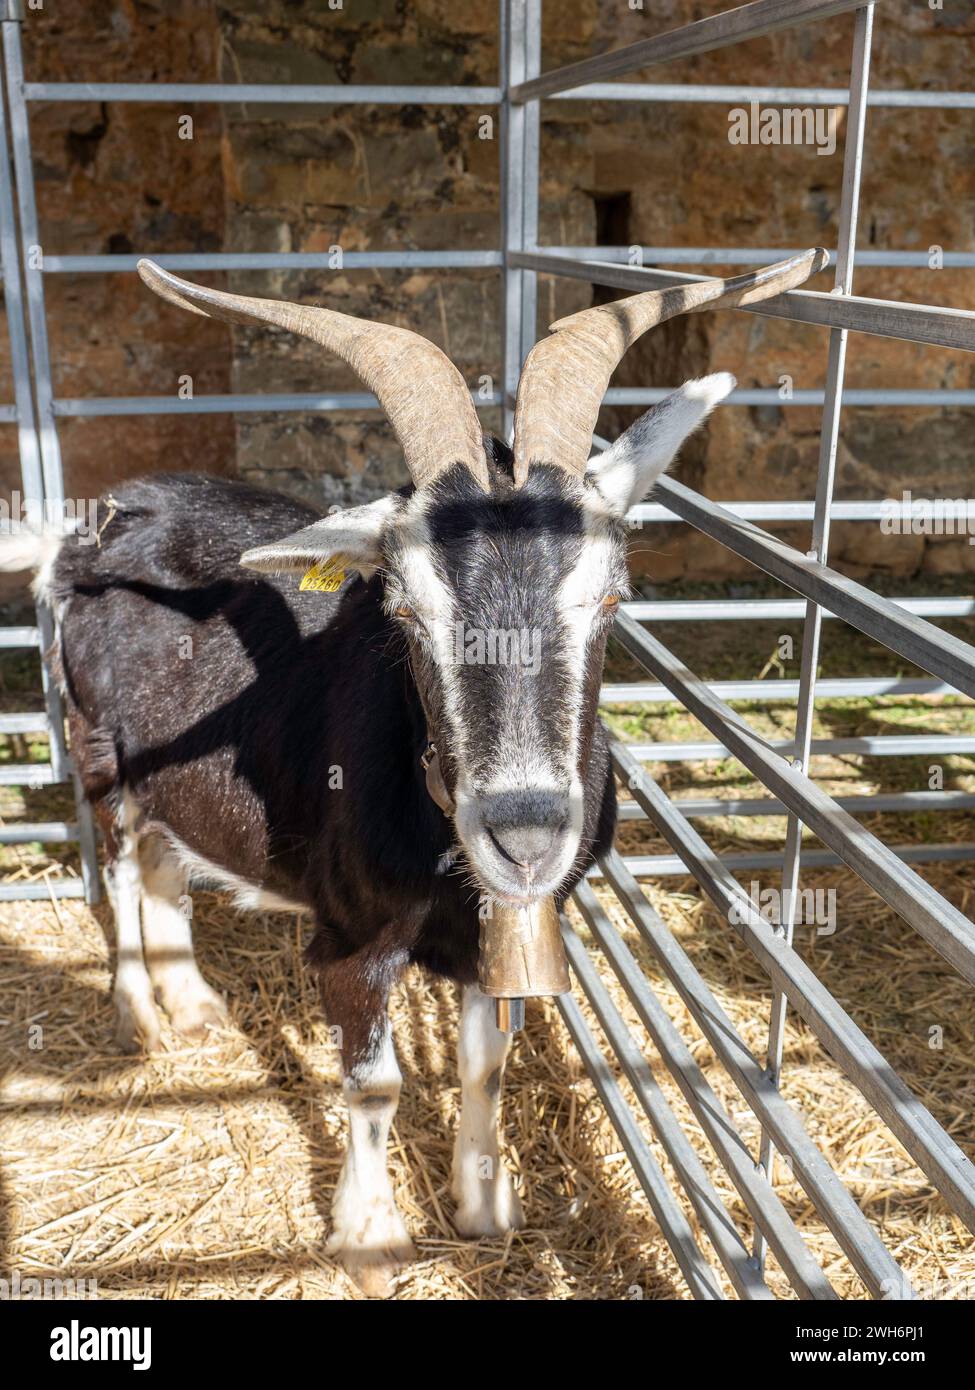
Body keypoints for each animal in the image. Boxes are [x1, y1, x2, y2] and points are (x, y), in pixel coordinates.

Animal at [1, 248, 824, 1294]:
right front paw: (371, 1238)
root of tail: (87, 530)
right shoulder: (352, 944)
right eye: (403, 607)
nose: (524, 838)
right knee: (115, 863)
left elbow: (484, 1065)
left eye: (611, 596)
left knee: (161, 862)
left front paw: (483, 1205)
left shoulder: (494, 936)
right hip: (98, 747)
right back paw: (139, 1021)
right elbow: (376, 1083)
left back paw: (193, 1010)